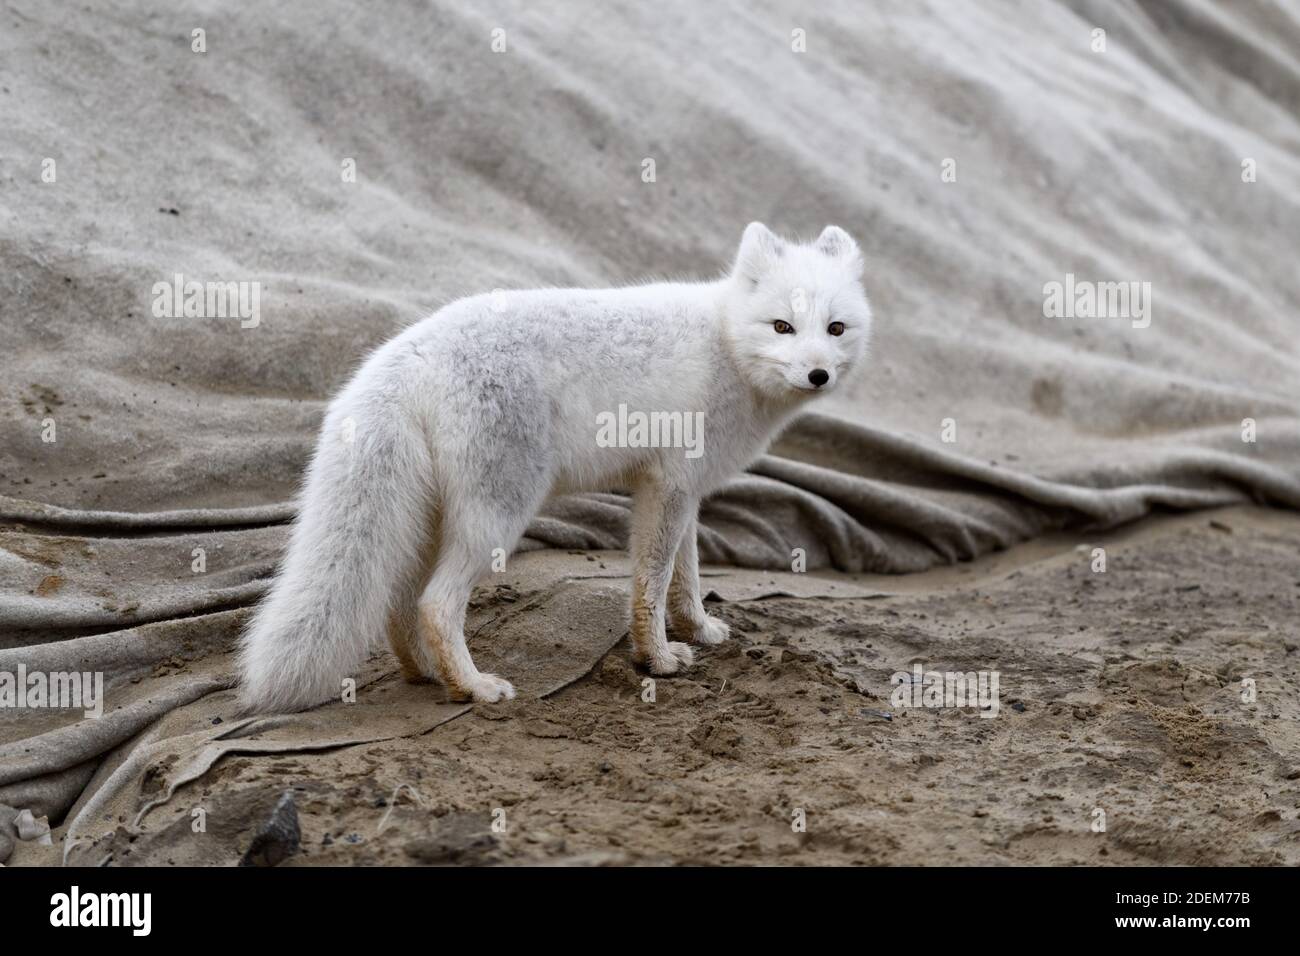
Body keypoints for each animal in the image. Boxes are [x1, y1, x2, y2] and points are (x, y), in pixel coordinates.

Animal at [237, 222, 872, 713]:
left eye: (835, 329)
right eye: (782, 327)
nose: (818, 374)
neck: (726, 343)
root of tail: (408, 354)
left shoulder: (682, 490)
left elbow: (686, 577)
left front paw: (699, 630)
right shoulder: (667, 488)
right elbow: (654, 581)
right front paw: (657, 659)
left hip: (435, 516)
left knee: (400, 604)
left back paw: (429, 676)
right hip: (499, 515)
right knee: (435, 604)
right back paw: (473, 688)